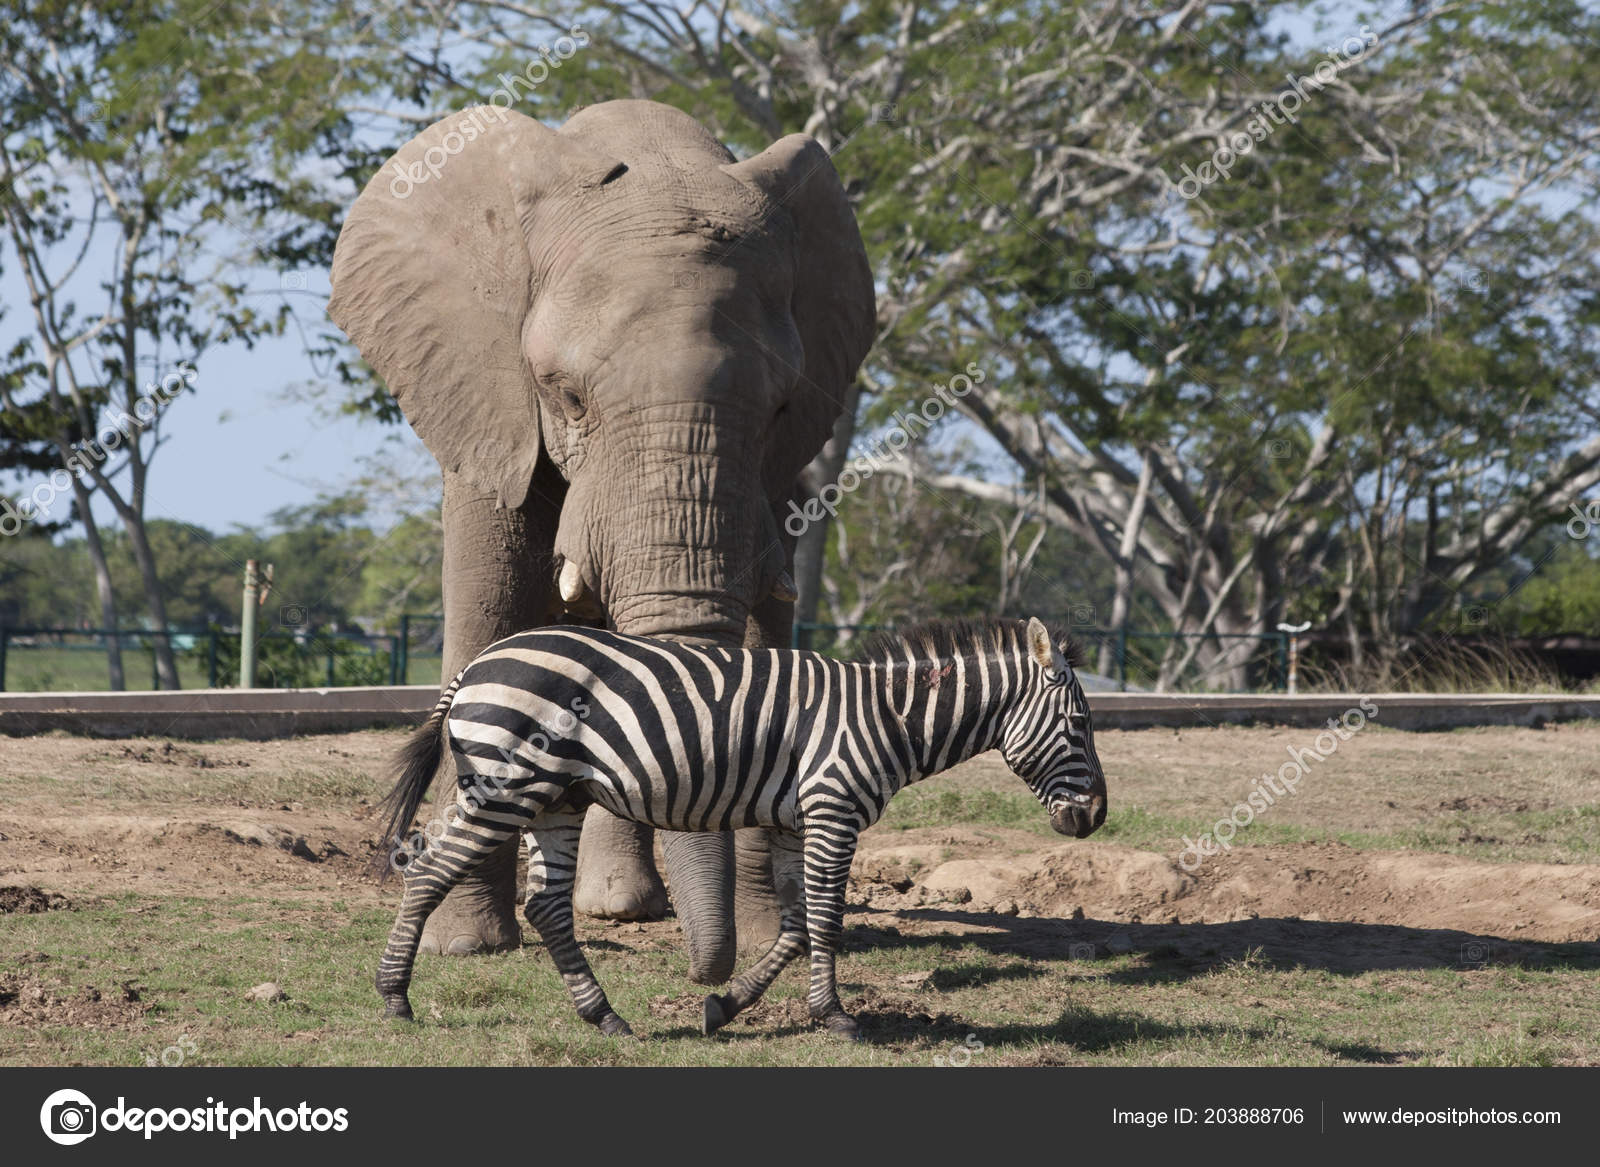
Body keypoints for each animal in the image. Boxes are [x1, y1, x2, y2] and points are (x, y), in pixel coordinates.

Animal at [328, 99, 876, 984]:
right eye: (567, 396)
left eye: (782, 406)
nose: (711, 981)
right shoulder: (488, 399)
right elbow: (487, 614)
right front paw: (466, 944)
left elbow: (766, 631)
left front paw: (767, 936)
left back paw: (620, 905)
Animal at [372, 615, 1108, 1040]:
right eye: (1080, 725)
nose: (1096, 816)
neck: (887, 718)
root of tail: (476, 664)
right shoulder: (834, 808)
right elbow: (825, 919)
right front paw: (835, 1018)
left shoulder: (794, 822)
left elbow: (797, 923)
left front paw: (725, 1006)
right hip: (508, 787)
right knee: (429, 871)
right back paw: (395, 1000)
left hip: (556, 798)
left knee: (546, 905)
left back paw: (605, 1017)